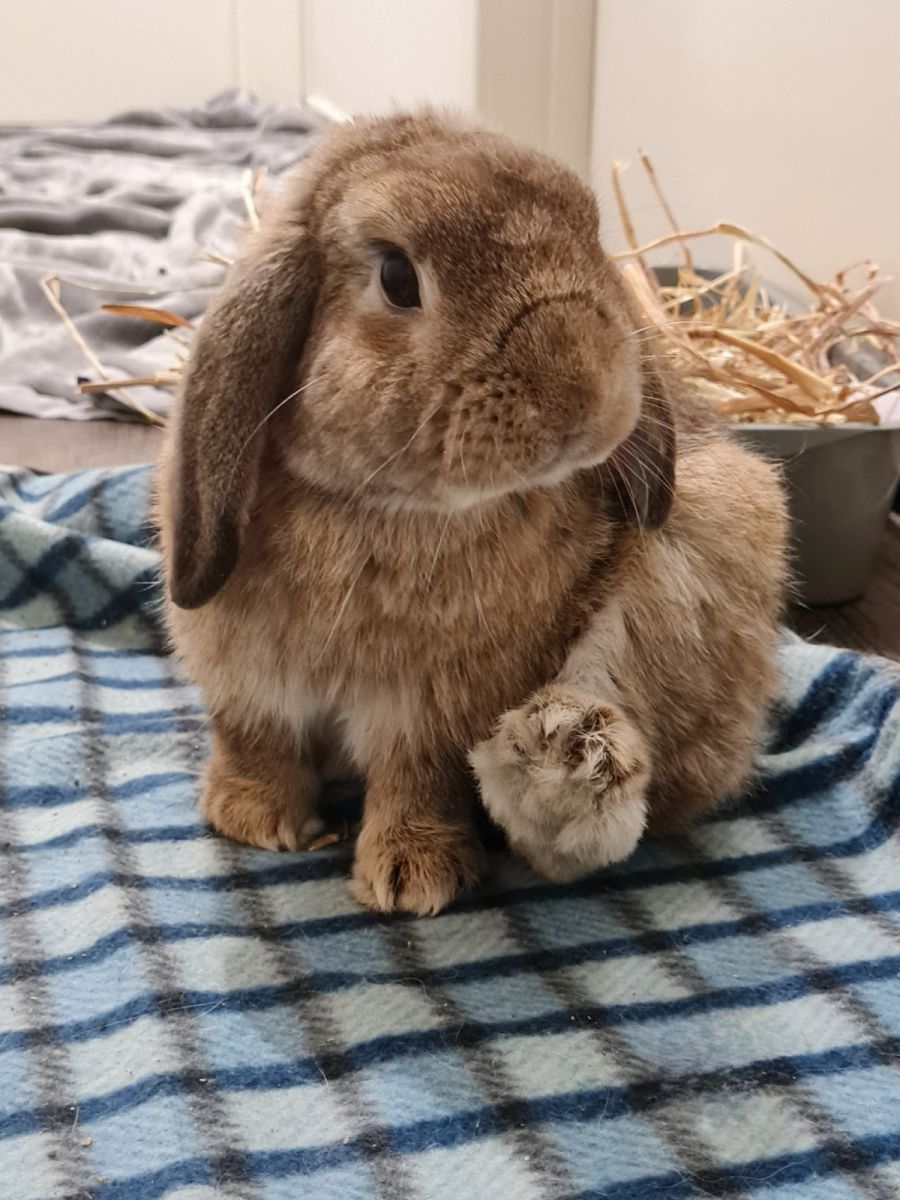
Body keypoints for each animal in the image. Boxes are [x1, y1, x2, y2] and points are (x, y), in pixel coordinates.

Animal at [157, 109, 788, 915]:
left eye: (590, 235)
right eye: (397, 277)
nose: (581, 392)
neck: (387, 508)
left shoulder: (431, 711)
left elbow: (417, 778)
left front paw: (411, 876)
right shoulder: (247, 685)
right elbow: (254, 742)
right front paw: (251, 819)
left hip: (703, 554)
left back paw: (560, 763)